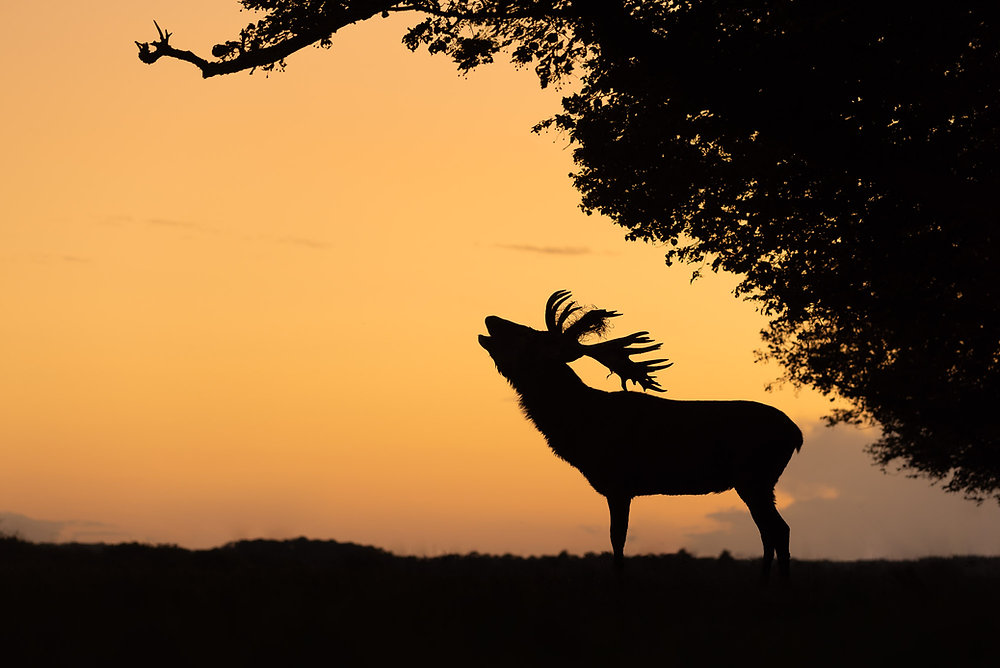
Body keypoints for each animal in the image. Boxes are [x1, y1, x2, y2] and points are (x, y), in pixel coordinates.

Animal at [478, 290, 803, 580]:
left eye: (532, 336)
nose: (491, 318)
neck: (581, 425)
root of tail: (796, 435)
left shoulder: (618, 482)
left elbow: (617, 540)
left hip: (755, 476)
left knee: (779, 529)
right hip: (758, 482)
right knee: (769, 532)